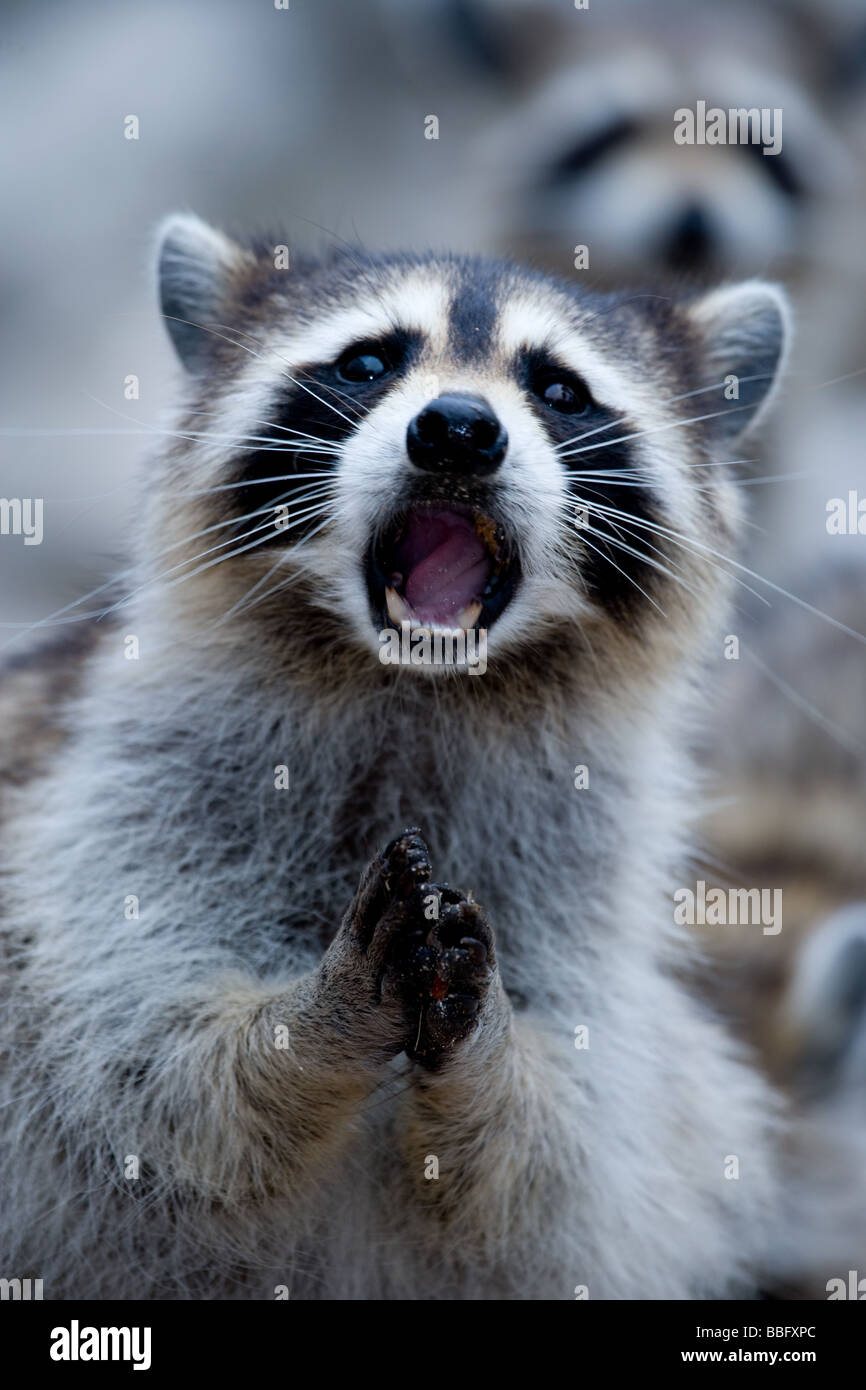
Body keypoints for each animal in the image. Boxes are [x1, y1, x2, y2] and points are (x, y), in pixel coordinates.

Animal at [0, 216, 789, 1299]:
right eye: (368, 362)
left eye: (560, 391)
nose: (457, 427)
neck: (419, 686)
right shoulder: (124, 791)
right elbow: (138, 1051)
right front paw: (307, 1023)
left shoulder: (586, 875)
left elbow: (574, 1135)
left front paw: (495, 1049)